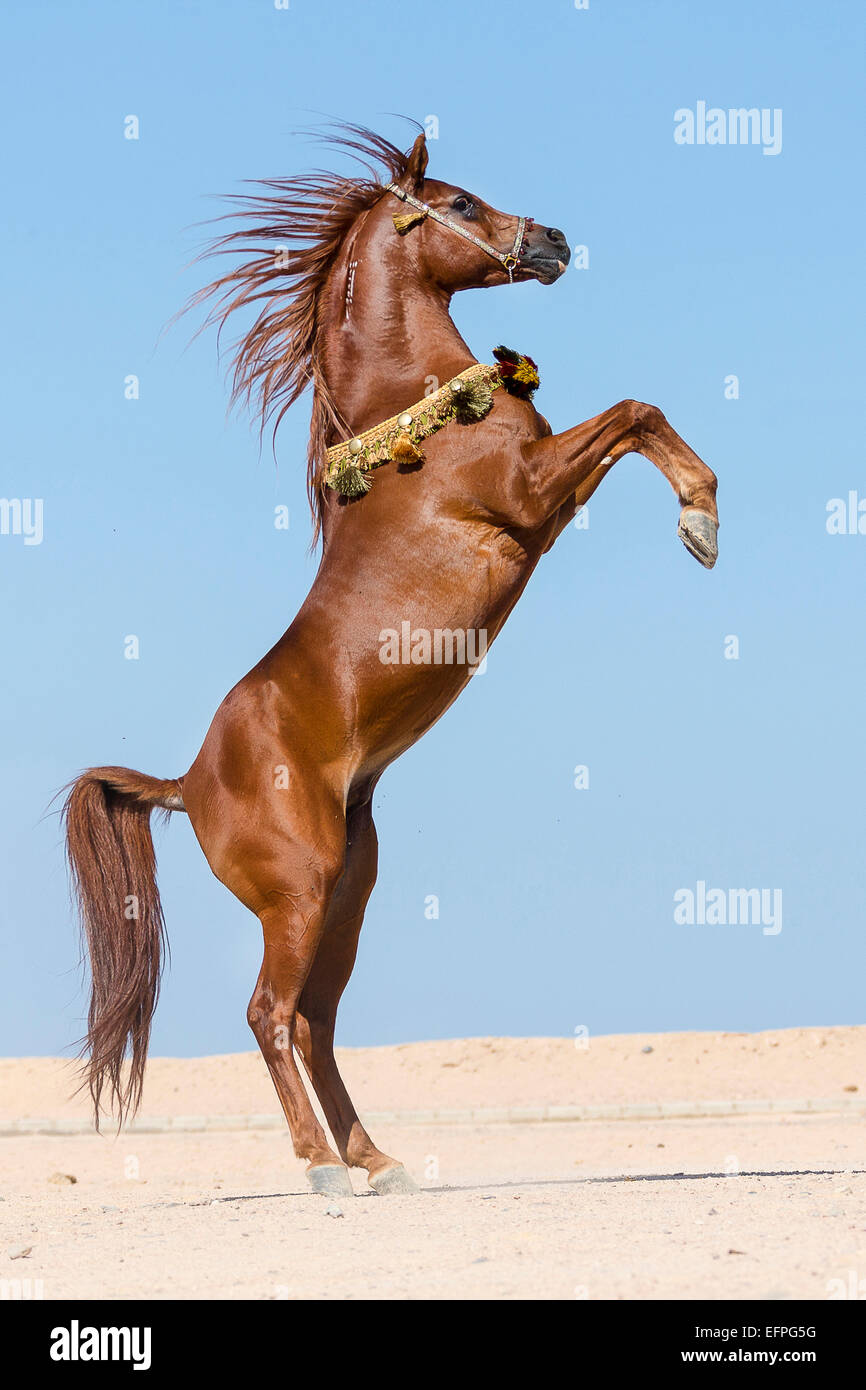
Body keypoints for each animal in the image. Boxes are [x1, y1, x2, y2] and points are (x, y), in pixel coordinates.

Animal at [63, 124, 719, 1197]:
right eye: (457, 203)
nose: (553, 241)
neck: (416, 413)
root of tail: (185, 784)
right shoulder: (531, 494)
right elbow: (633, 410)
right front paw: (702, 520)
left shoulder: (550, 503)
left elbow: (639, 415)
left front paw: (700, 519)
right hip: (298, 891)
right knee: (268, 1013)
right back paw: (321, 1169)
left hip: (348, 892)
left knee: (314, 1021)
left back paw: (376, 1160)